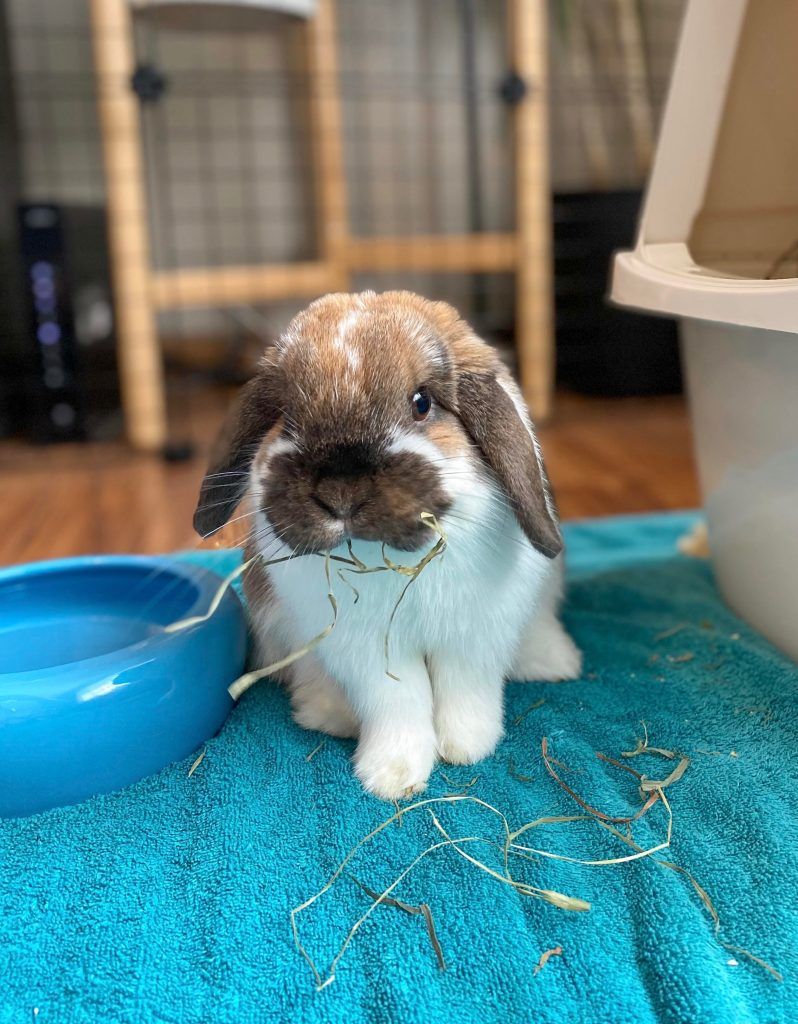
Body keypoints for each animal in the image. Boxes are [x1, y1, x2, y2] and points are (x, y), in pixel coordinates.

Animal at [194, 291, 582, 801]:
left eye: (422, 403)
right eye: (287, 416)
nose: (341, 490)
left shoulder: (476, 635)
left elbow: (466, 690)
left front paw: (467, 747)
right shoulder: (365, 653)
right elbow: (399, 702)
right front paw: (391, 777)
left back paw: (556, 663)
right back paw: (329, 713)